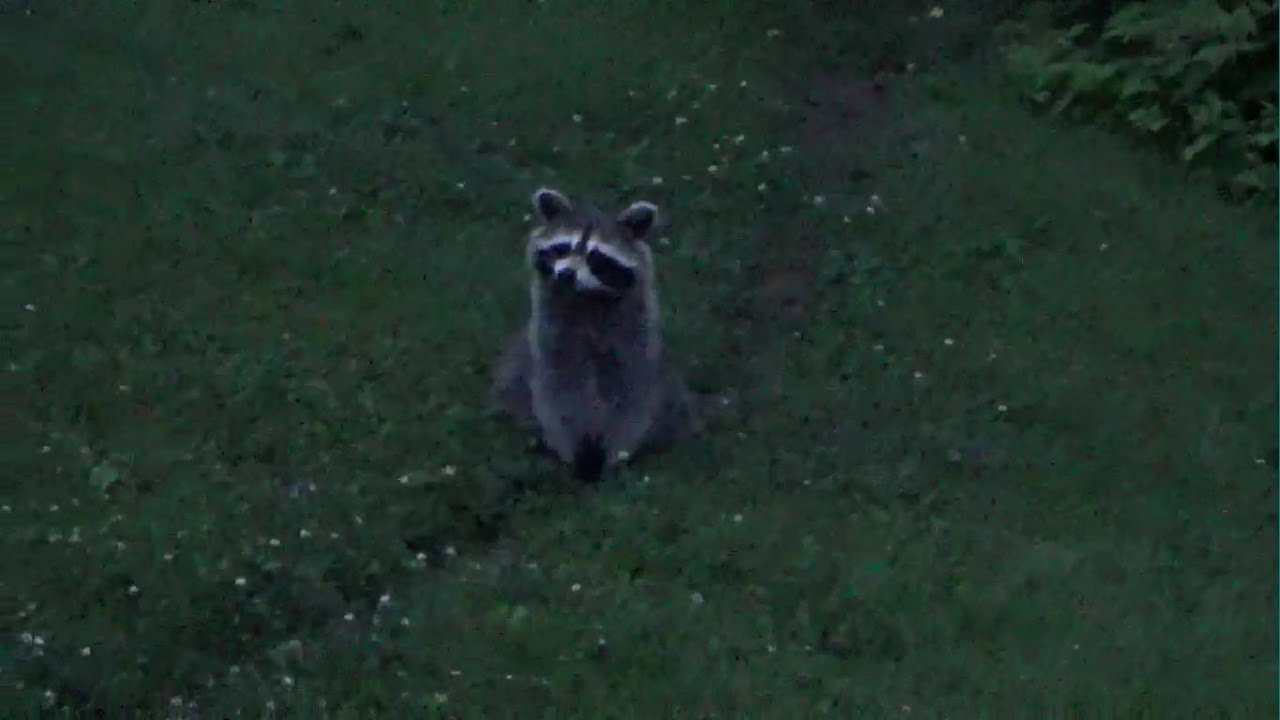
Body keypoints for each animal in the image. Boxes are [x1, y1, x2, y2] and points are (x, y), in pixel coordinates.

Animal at [491, 187, 701, 483]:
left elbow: (629, 396)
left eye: (596, 257)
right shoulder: (550, 339)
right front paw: (572, 455)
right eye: (562, 248)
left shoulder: (633, 342)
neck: (584, 297)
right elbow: (557, 392)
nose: (566, 274)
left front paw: (616, 457)